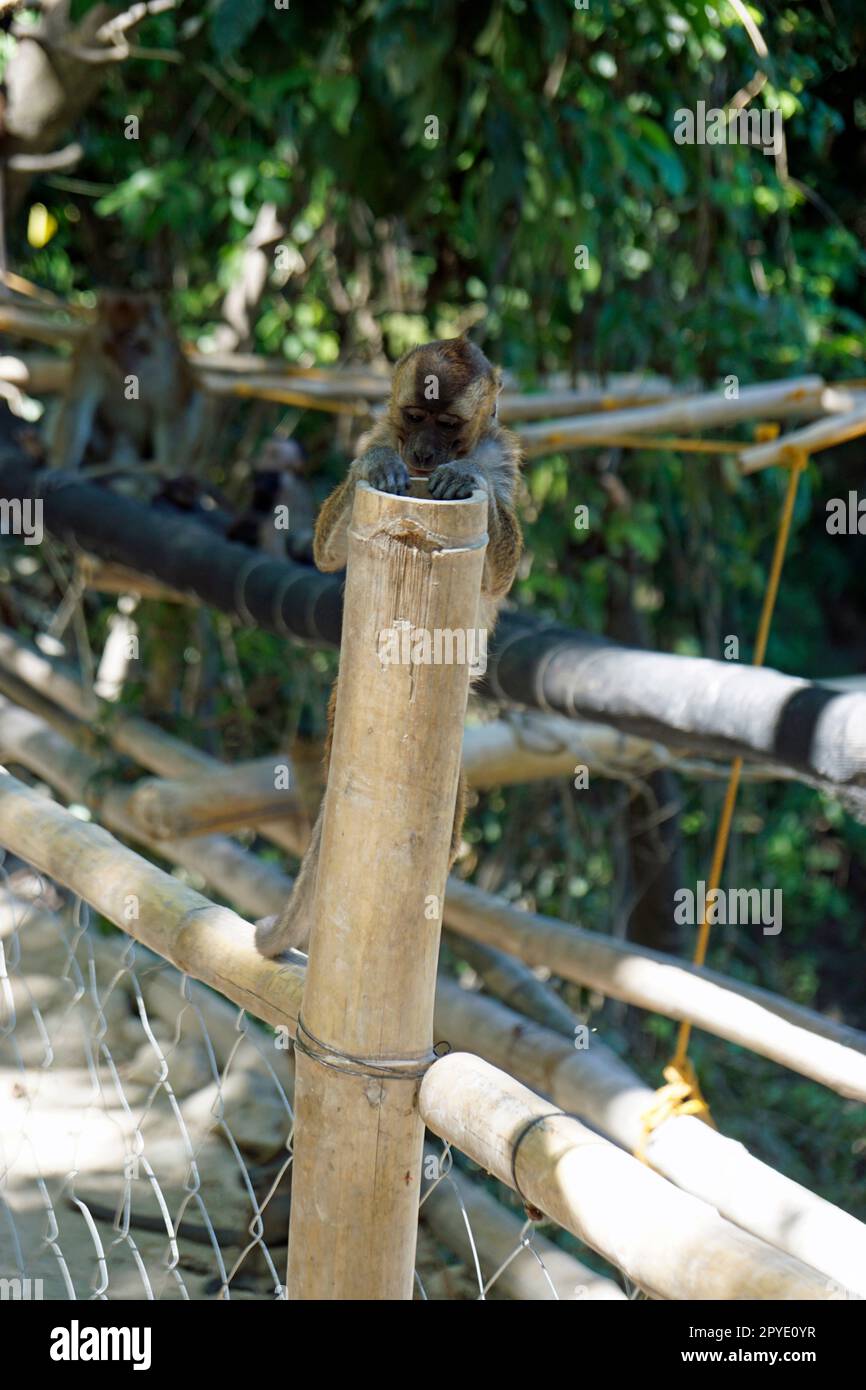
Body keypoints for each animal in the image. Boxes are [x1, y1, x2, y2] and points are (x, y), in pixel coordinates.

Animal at [47, 290, 207, 481]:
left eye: (130, 339)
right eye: (111, 343)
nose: (123, 360)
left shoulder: (168, 365)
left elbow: (173, 414)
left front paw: (165, 469)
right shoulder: (90, 354)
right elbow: (77, 405)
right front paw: (63, 468)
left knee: (194, 399)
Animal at [255, 336, 522, 958]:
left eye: (446, 425)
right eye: (413, 417)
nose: (423, 452)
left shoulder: (502, 460)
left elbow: (499, 575)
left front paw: (465, 473)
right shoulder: (380, 432)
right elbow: (328, 553)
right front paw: (374, 468)